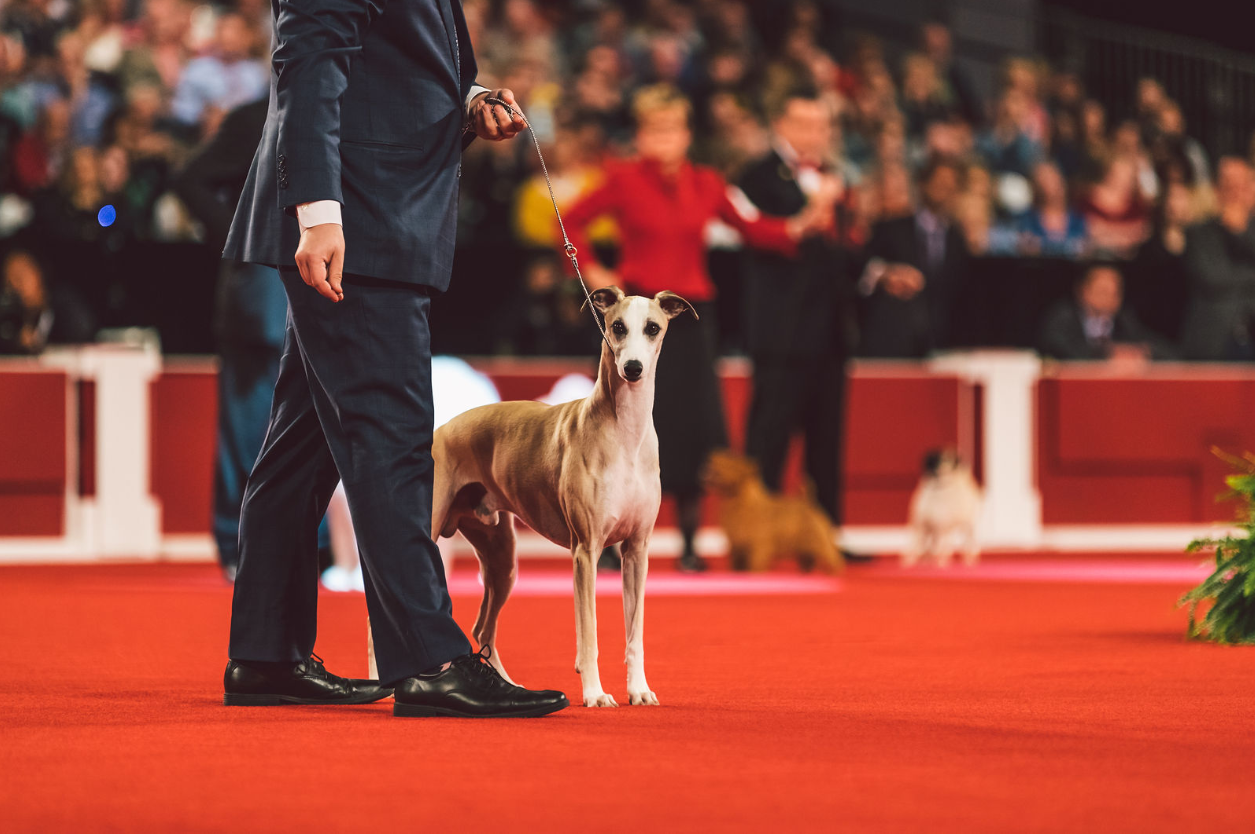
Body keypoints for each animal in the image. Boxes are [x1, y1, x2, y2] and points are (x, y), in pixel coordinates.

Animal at [366, 285, 697, 703]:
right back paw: (383, 686)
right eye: (617, 326)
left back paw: (508, 687)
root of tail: (441, 431)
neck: (624, 433)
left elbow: (634, 633)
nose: (633, 368)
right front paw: (594, 693)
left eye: (653, 327)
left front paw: (639, 690)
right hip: (430, 531)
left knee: (482, 628)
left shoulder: (637, 550)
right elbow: (588, 634)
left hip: (501, 559)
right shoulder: (585, 550)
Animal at [707, 449, 843, 572]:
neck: (741, 504)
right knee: (809, 561)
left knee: (834, 559)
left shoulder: (758, 547)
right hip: (805, 550)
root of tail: (809, 502)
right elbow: (737, 567)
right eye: (717, 463)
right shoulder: (736, 547)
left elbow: (753, 566)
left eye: (730, 465)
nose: (713, 457)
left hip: (820, 544)